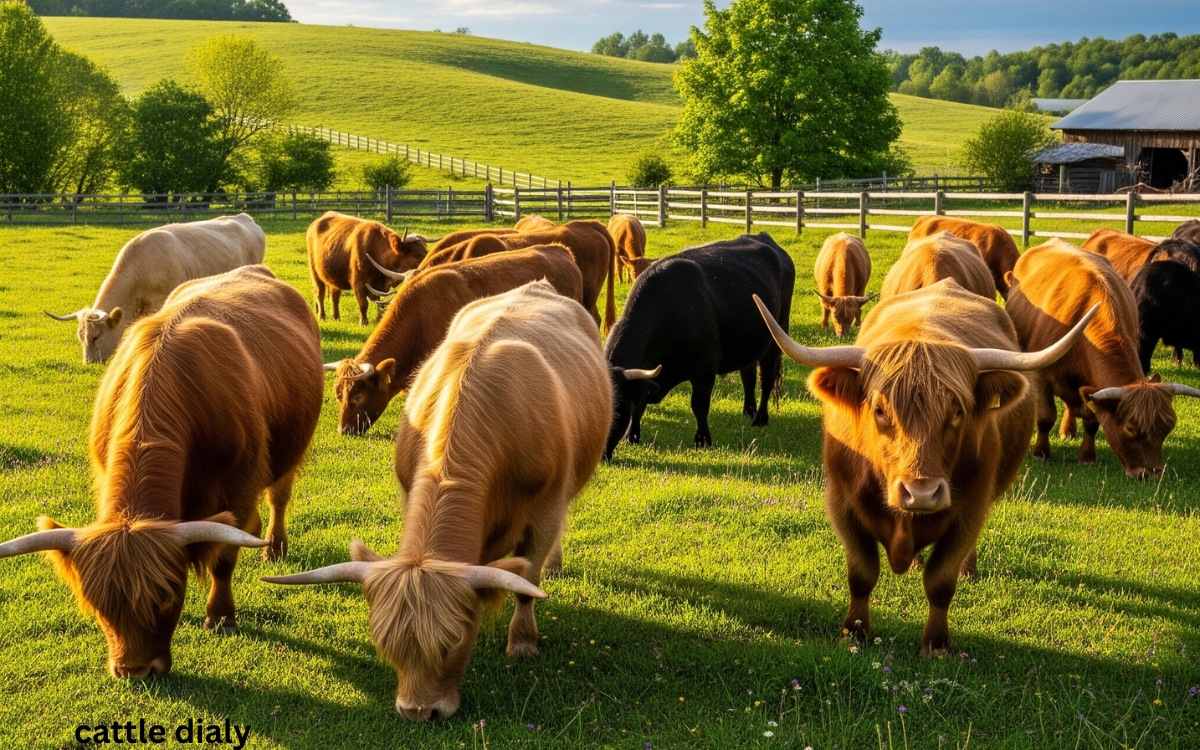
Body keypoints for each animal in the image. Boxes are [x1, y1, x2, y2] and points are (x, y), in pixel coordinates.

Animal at [1, 265, 323, 678]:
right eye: (97, 605)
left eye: (167, 597)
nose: (134, 671)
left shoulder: (236, 489)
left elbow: (222, 560)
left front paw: (221, 616)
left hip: (291, 449)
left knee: (278, 498)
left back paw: (274, 547)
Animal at [265, 281, 611, 721]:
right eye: (385, 644)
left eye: (455, 640)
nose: (418, 711)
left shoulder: (545, 510)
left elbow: (526, 580)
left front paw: (523, 642)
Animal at [604, 233, 795, 459]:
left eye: (616, 412)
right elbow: (638, 404)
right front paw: (632, 436)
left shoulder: (705, 366)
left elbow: (699, 405)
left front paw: (703, 440)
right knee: (748, 376)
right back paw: (748, 411)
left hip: (775, 338)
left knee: (766, 379)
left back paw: (759, 419)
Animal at [754, 279, 1096, 655]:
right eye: (880, 410)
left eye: (958, 411)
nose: (921, 493)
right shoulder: (842, 504)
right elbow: (861, 573)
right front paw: (854, 633)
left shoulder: (970, 510)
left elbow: (941, 581)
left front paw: (936, 645)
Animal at [1005, 239, 1200, 478]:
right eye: (1130, 427)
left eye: (1167, 428)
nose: (1151, 473)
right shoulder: (1040, 376)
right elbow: (1045, 416)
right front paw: (1041, 453)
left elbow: (1092, 421)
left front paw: (1087, 457)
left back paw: (1068, 431)